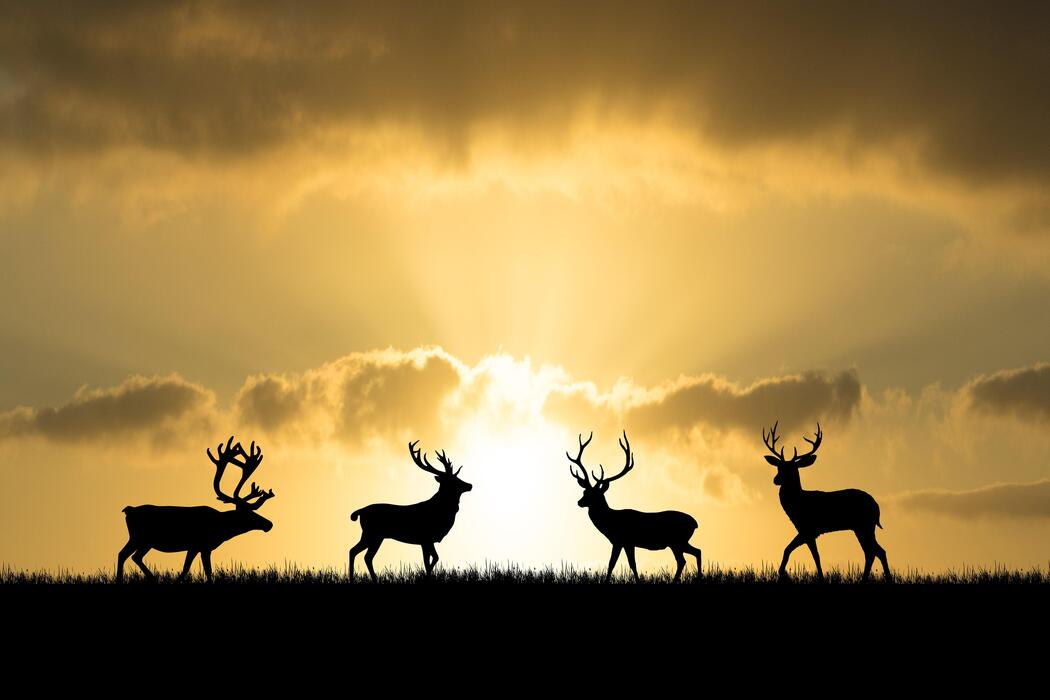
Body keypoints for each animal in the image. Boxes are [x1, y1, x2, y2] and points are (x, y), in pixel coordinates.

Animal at [116, 436, 276, 582]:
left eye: (254, 510)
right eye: (248, 513)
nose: (269, 524)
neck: (222, 528)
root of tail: (128, 511)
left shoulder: (200, 547)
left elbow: (192, 569)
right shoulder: (199, 545)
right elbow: (199, 570)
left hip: (143, 540)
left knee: (129, 555)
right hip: (140, 538)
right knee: (127, 555)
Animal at [349, 440, 472, 582]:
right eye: (453, 480)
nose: (469, 485)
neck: (441, 513)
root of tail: (360, 511)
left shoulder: (425, 541)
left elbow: (430, 560)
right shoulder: (426, 537)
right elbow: (432, 560)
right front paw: (426, 577)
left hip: (376, 536)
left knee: (363, 555)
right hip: (371, 533)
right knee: (357, 552)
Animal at [567, 431, 701, 583]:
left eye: (595, 495)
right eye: (584, 492)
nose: (579, 502)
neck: (610, 521)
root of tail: (695, 523)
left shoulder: (623, 540)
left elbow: (619, 563)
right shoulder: (623, 542)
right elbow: (624, 564)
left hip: (676, 540)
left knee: (683, 559)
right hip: (680, 541)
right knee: (696, 552)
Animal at [762, 422, 891, 582]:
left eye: (792, 469)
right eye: (778, 467)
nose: (776, 480)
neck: (798, 502)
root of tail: (876, 506)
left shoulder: (808, 529)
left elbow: (799, 552)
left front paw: (782, 573)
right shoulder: (807, 531)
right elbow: (810, 554)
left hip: (864, 525)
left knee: (876, 551)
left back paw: (883, 579)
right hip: (862, 527)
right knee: (872, 552)